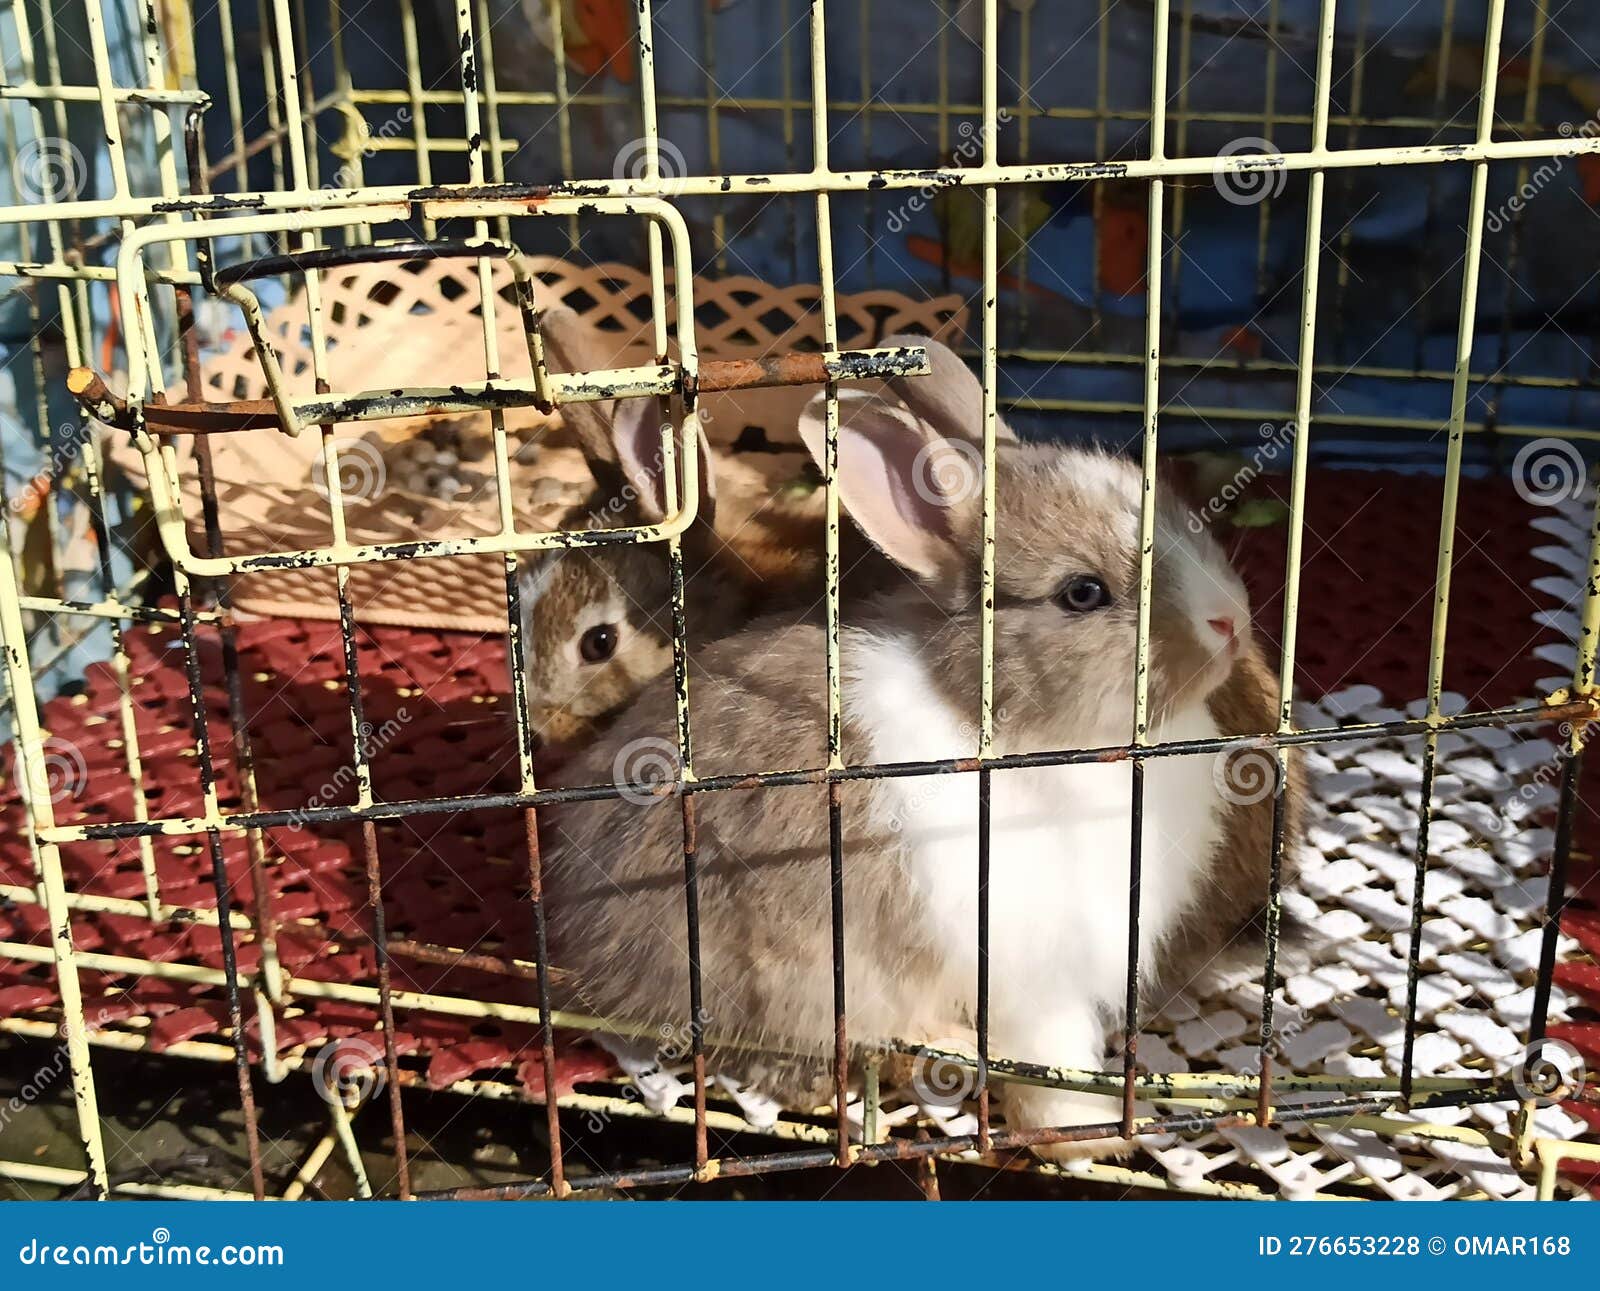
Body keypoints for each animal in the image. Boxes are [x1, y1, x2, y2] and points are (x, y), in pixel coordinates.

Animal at [537, 350, 1298, 1162]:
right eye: (1083, 593)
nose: (1230, 619)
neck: (1011, 733)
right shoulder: (1035, 971)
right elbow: (1054, 1061)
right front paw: (1089, 1136)